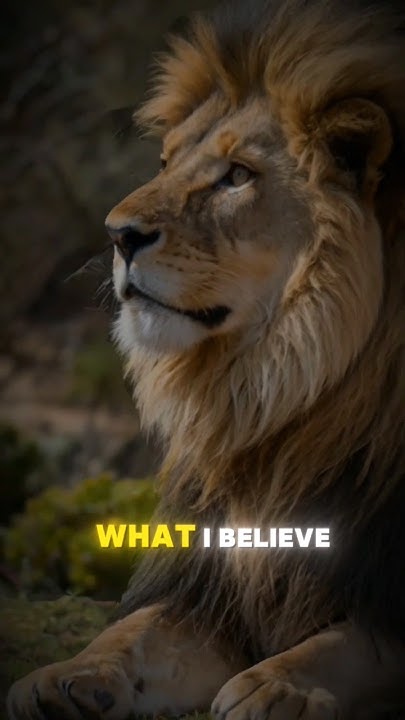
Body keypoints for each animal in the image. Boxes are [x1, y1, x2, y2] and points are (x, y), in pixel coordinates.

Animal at [7, 0, 405, 718]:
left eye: (237, 176)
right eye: (165, 162)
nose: (117, 235)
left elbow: (353, 646)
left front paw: (278, 687)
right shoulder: (209, 587)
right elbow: (133, 632)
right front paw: (66, 675)